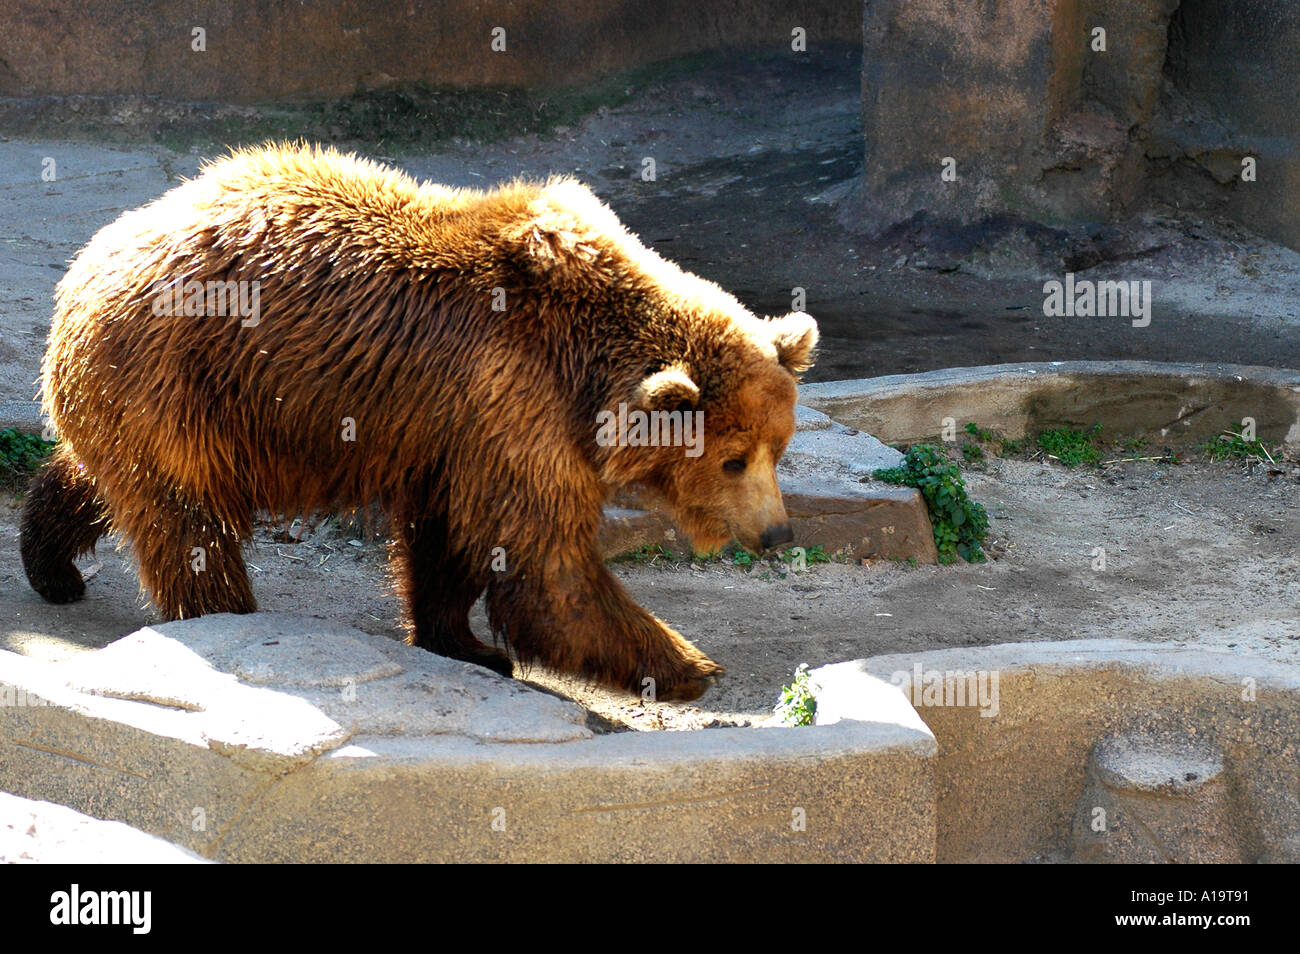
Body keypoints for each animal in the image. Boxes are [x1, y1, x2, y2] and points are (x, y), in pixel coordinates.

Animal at [20, 143, 818, 702]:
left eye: (779, 448)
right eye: (733, 459)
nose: (776, 533)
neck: (585, 367)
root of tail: (87, 262)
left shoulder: (457, 431)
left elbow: (453, 541)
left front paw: (463, 642)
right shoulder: (513, 403)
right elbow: (547, 569)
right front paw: (687, 663)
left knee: (100, 477)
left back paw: (52, 564)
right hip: (182, 378)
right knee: (189, 520)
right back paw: (227, 614)